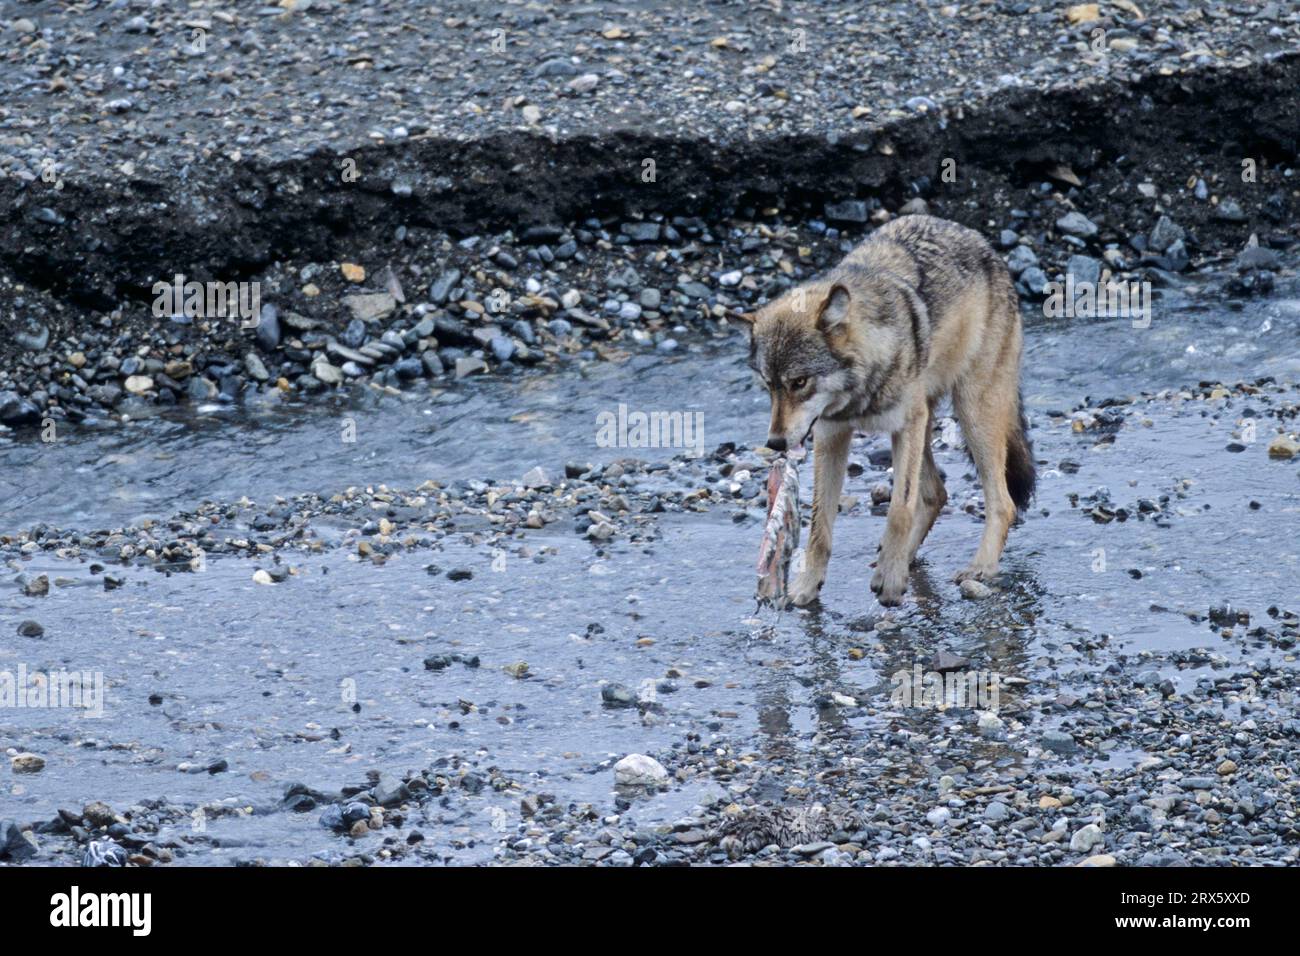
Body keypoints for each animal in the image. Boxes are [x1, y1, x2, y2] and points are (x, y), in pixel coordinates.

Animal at [736, 215, 1034, 607]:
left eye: (799, 382)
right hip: (929, 422)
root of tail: (978, 238)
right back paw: (905, 557)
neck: (859, 394)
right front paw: (806, 587)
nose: (775, 443)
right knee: (936, 493)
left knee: (1002, 503)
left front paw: (891, 580)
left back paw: (979, 567)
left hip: (971, 413)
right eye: (768, 385)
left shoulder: (905, 425)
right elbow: (820, 526)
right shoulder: (831, 435)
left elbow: (898, 509)